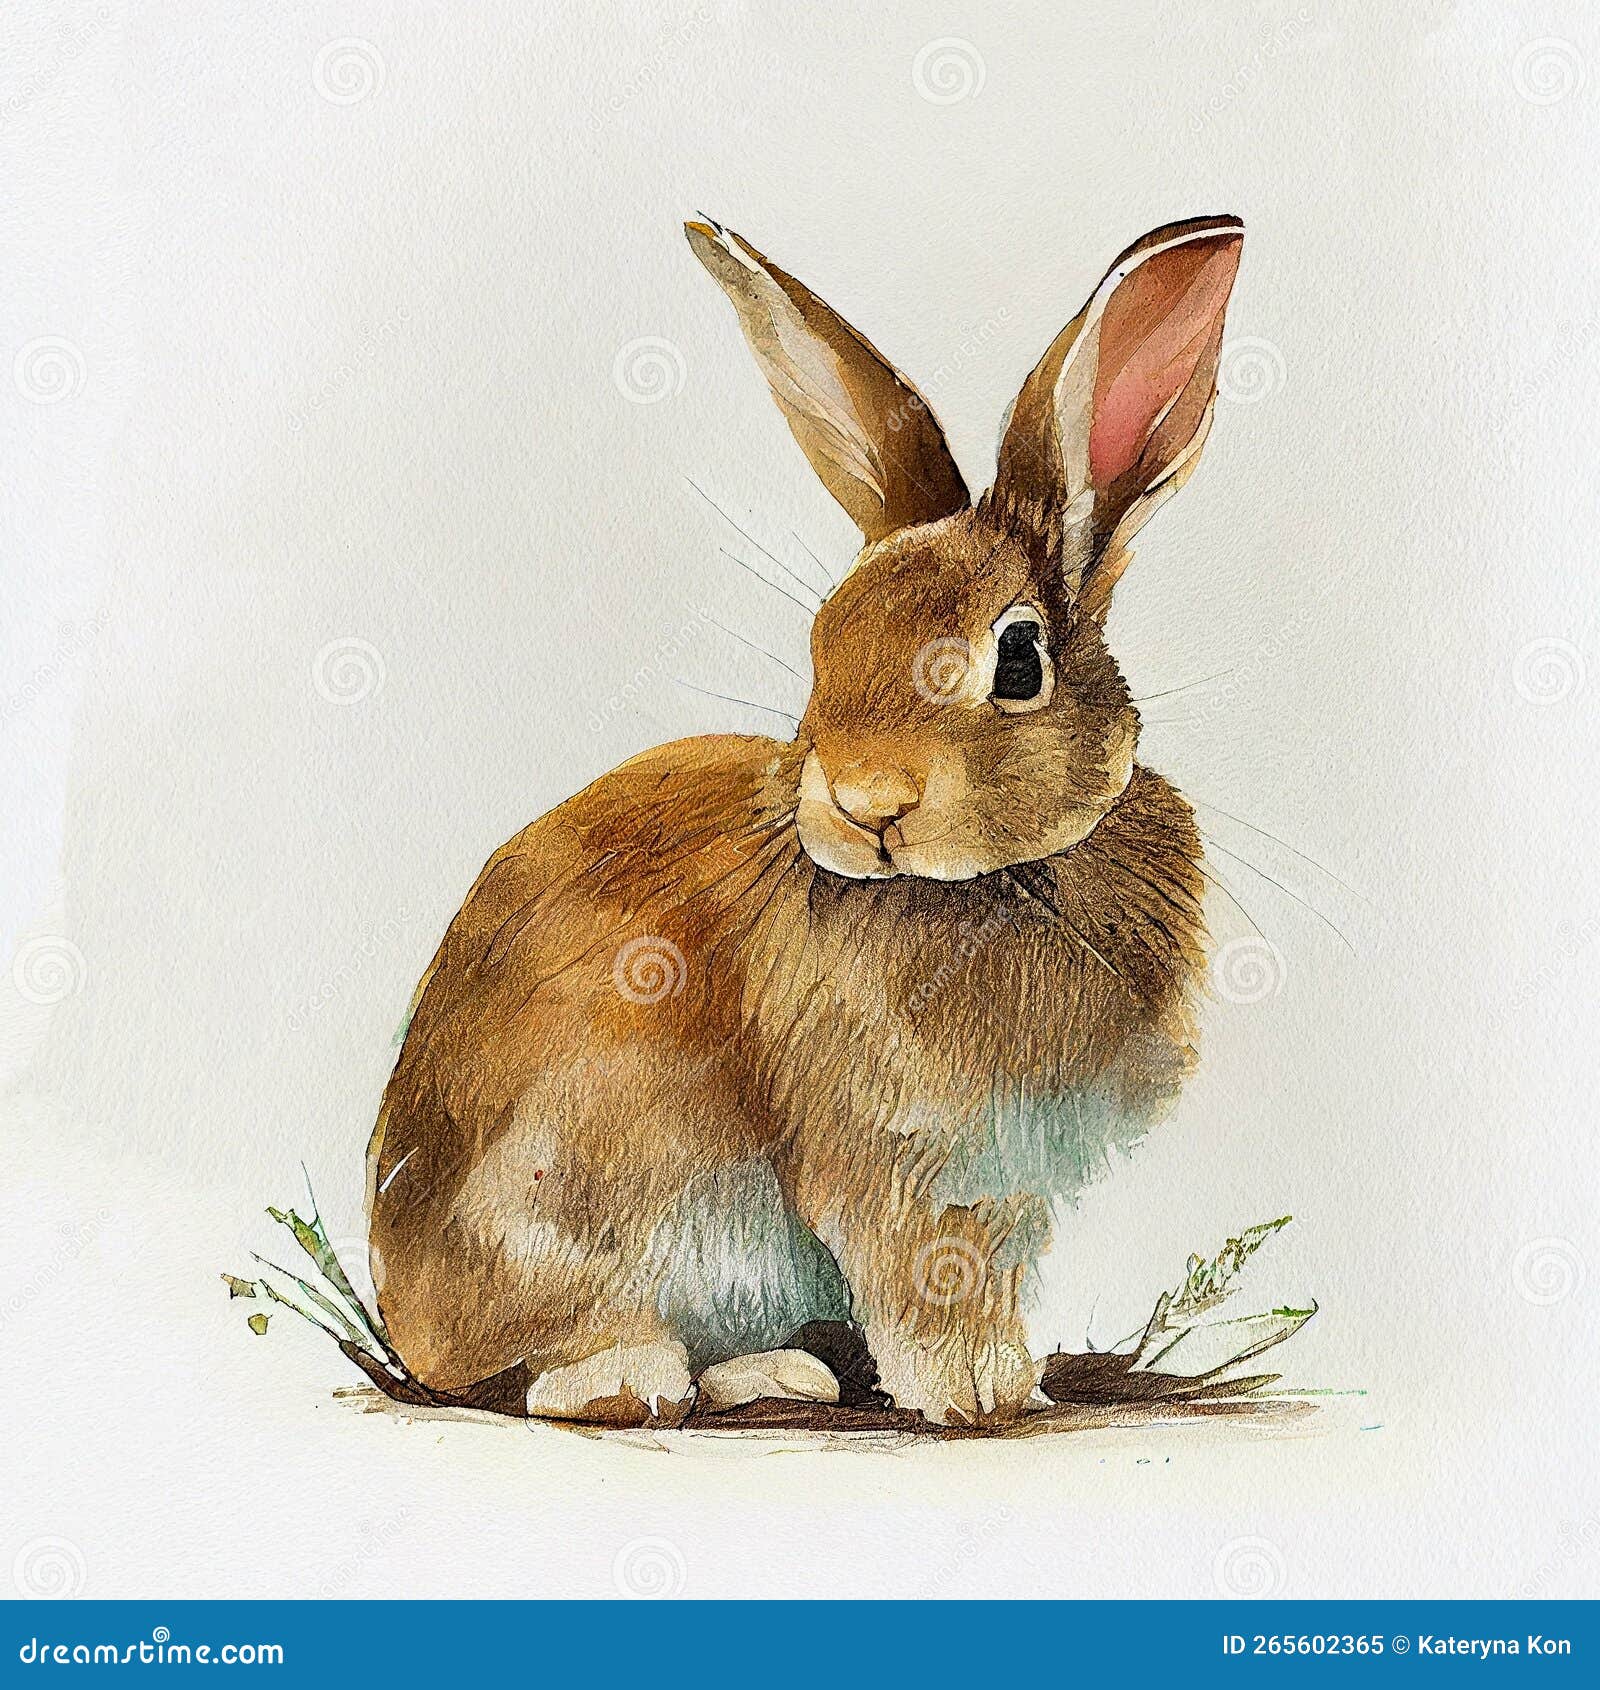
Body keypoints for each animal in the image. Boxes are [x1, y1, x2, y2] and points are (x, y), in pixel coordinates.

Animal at [365, 213, 1244, 1427]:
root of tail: (399, 1301)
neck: (993, 885)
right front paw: (974, 1398)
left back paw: (779, 1370)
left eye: (1019, 658)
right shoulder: (894, 1164)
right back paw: (629, 1378)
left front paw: (999, 1384)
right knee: (539, 1363)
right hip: (580, 1201)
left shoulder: (1003, 1189)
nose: (865, 805)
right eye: (824, 641)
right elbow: (931, 1282)